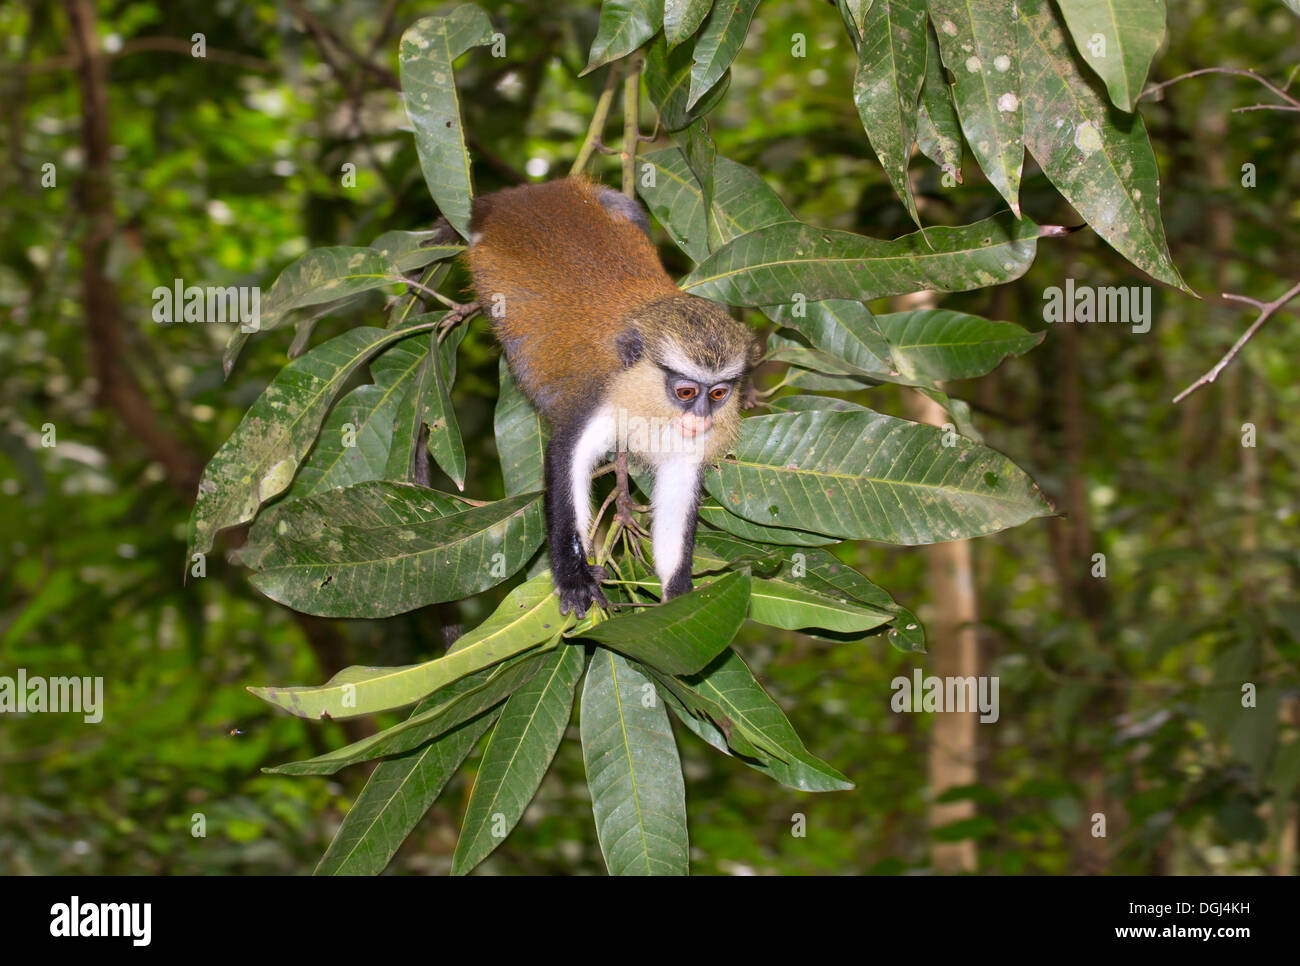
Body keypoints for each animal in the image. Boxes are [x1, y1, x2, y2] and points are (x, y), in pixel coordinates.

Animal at [465, 176, 759, 618]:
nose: (702, 418)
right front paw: (574, 578)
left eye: (719, 393)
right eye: (686, 391)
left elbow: (676, 492)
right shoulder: (602, 398)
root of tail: (521, 196)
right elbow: (565, 457)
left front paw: (678, 594)